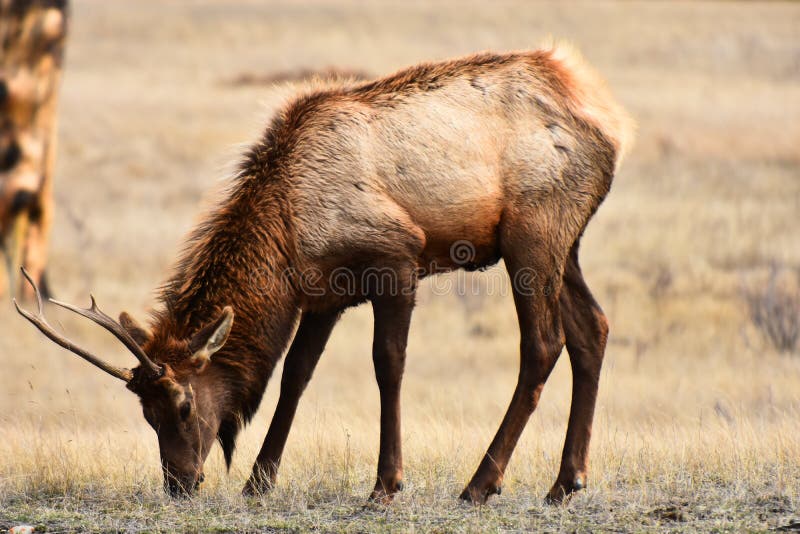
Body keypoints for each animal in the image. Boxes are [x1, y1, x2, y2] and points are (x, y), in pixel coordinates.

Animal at [15, 44, 633, 505]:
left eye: (183, 405)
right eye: (146, 414)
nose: (180, 484)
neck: (288, 235)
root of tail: (611, 127)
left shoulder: (398, 257)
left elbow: (388, 365)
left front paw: (385, 484)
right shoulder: (322, 294)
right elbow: (295, 375)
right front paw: (258, 482)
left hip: (532, 232)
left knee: (544, 343)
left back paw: (481, 484)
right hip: (565, 243)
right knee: (593, 328)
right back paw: (565, 482)